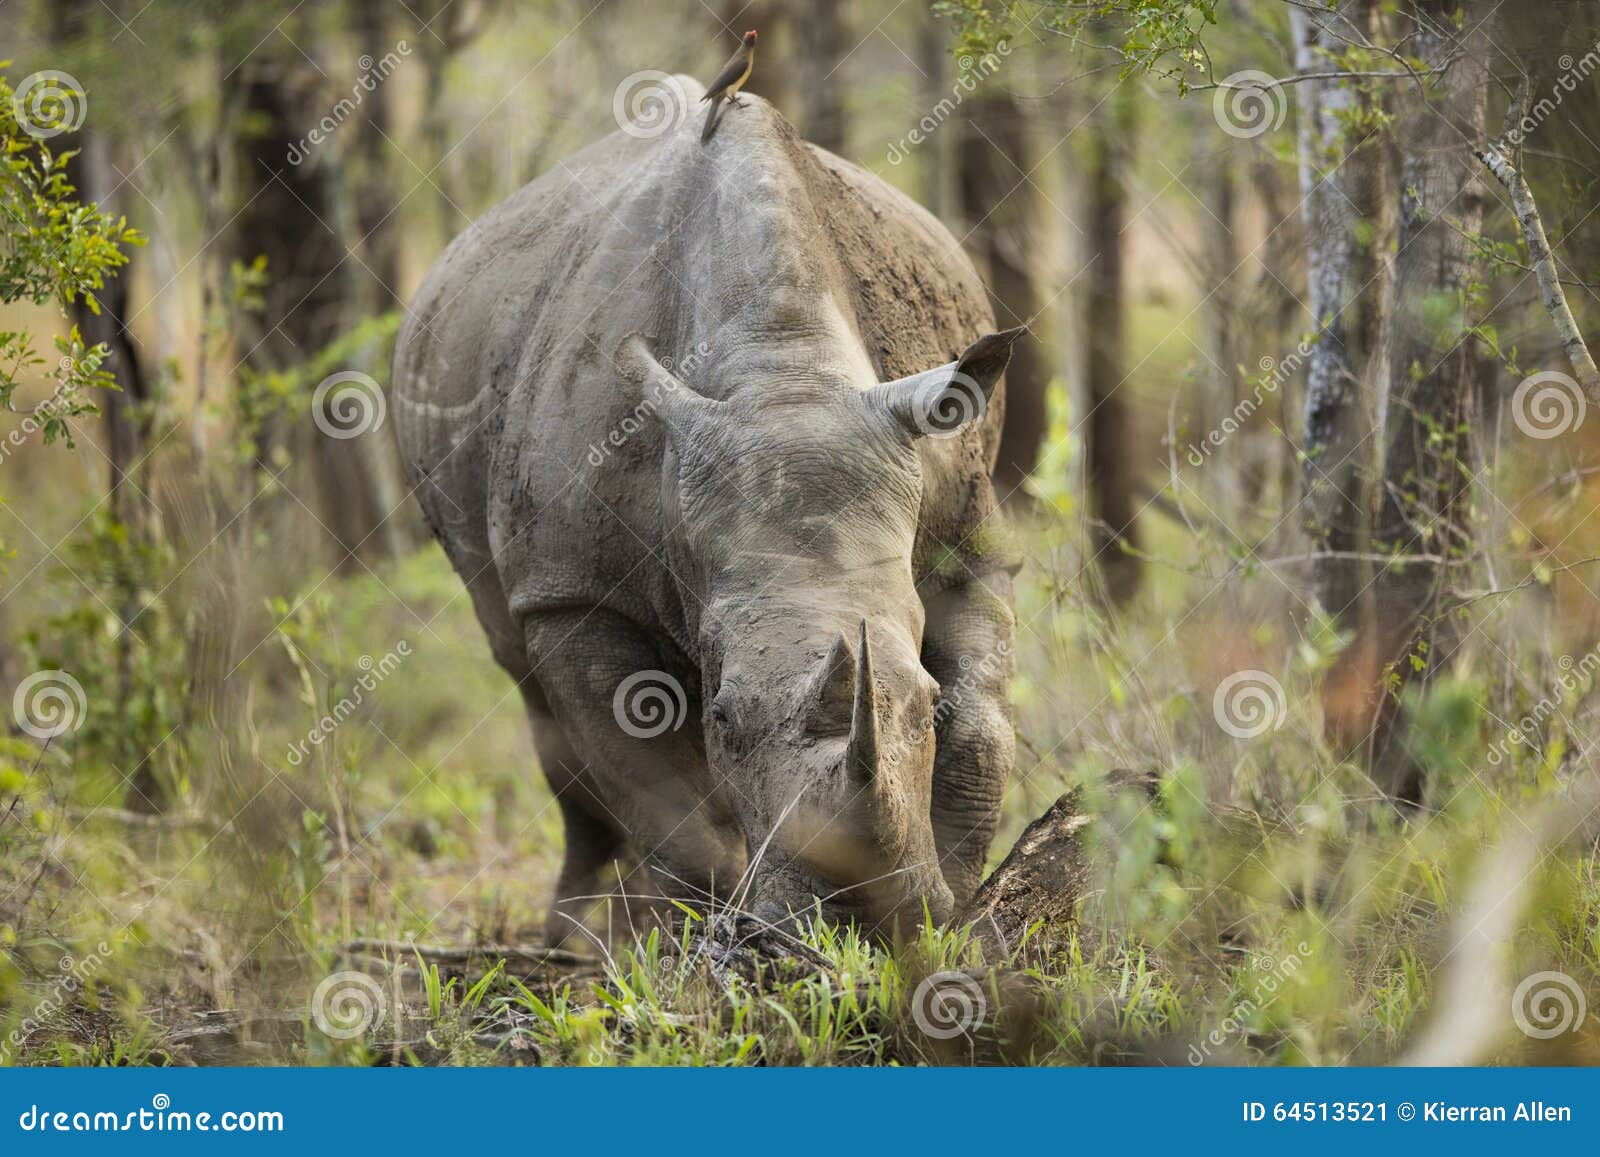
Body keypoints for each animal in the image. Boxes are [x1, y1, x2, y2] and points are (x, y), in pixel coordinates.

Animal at [391, 77, 1020, 943]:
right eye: (725, 716)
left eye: (924, 704)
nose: (859, 920)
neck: (785, 370)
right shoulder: (573, 588)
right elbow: (657, 790)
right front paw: (698, 936)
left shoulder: (965, 535)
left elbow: (983, 726)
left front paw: (953, 903)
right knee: (534, 699)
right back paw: (580, 936)